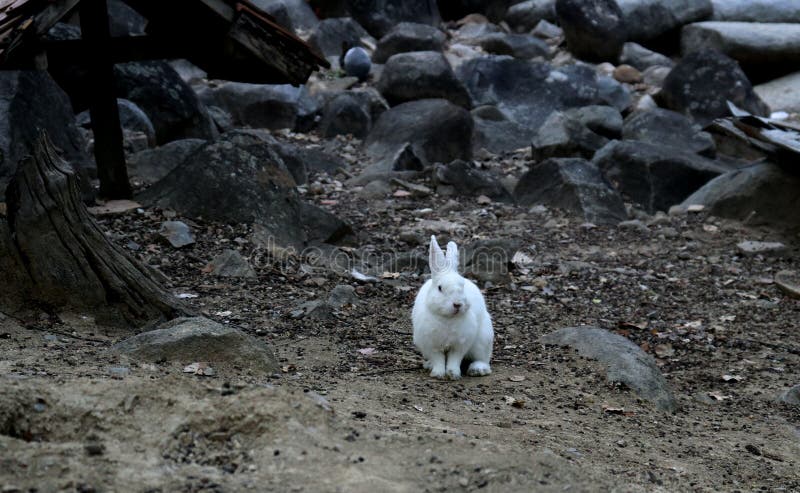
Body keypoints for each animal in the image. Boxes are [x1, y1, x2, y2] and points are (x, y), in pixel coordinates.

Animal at [412, 235, 494, 380]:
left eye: (462, 286)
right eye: (440, 288)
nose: (457, 304)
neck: (447, 318)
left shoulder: (460, 344)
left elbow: (454, 359)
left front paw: (453, 374)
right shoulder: (431, 345)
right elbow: (438, 359)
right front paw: (438, 374)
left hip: (483, 339)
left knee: (483, 358)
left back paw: (478, 369)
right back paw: (429, 365)